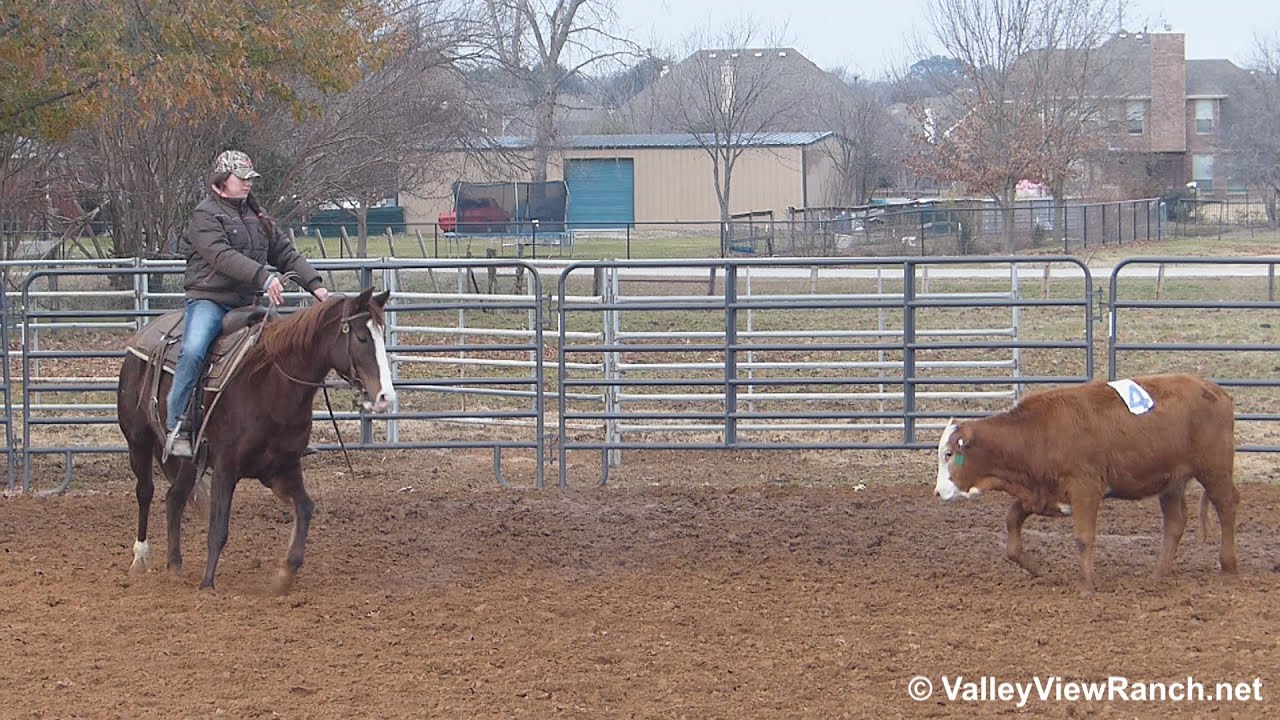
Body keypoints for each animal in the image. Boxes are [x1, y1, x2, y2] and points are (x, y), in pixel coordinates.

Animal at [934, 373, 1239, 592]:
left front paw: (1087, 585)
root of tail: (1217, 391)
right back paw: (1158, 574)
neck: (1036, 434)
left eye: (949, 454)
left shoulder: (1085, 489)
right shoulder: (1040, 493)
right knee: (1175, 521)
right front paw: (1037, 568)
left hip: (1215, 469)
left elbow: (1083, 537)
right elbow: (1012, 521)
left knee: (1226, 506)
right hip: (1171, 481)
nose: (937, 492)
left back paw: (1228, 566)